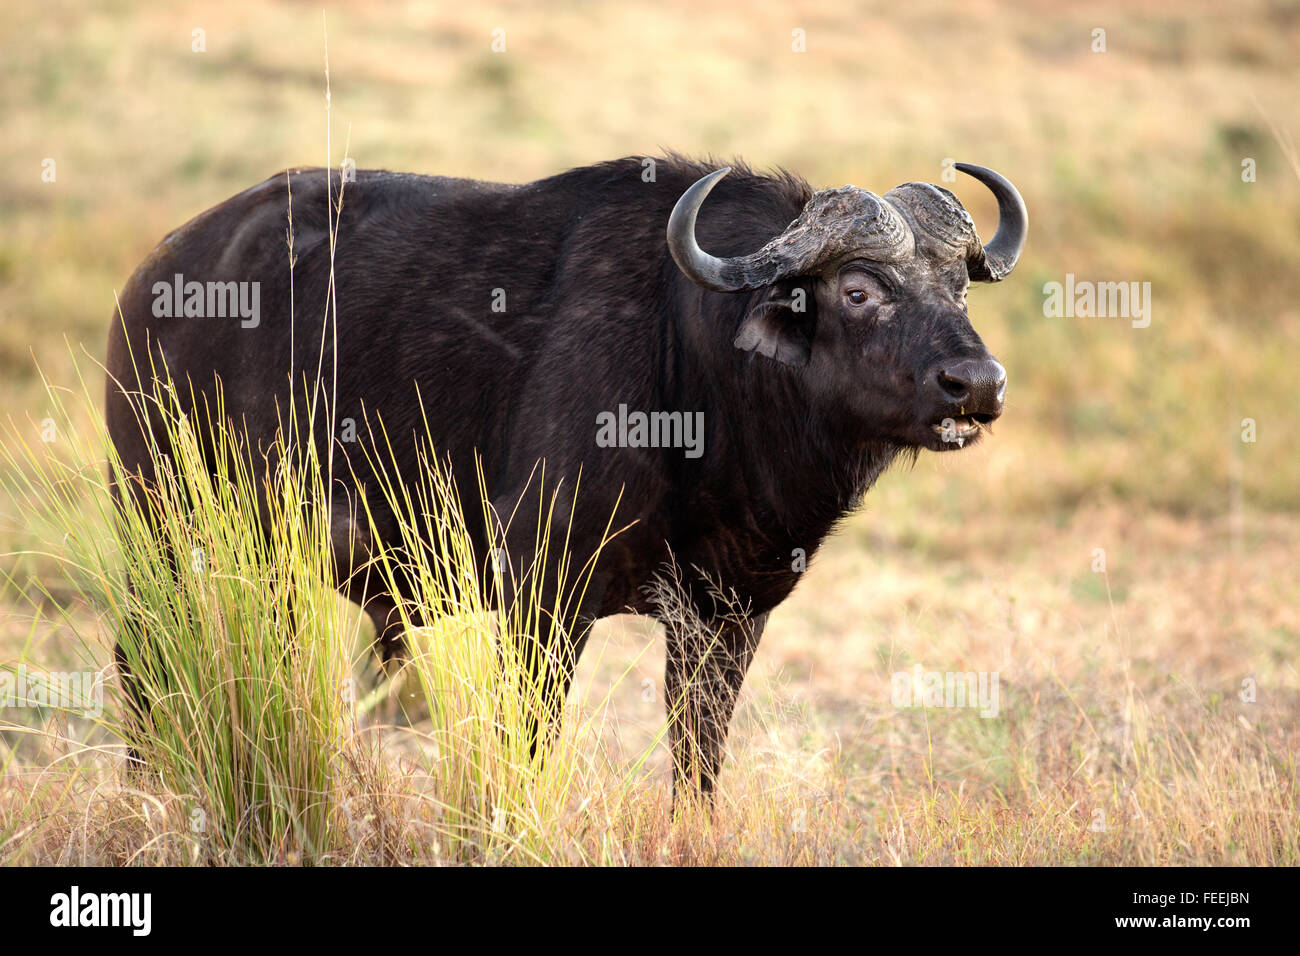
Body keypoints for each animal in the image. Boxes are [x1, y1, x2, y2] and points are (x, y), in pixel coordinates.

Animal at [106, 155, 1026, 801]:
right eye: (859, 290)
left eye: (958, 286)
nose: (977, 384)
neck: (698, 372)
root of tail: (155, 279)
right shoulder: (540, 598)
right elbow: (531, 744)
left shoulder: (729, 616)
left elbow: (697, 762)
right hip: (159, 534)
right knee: (141, 659)